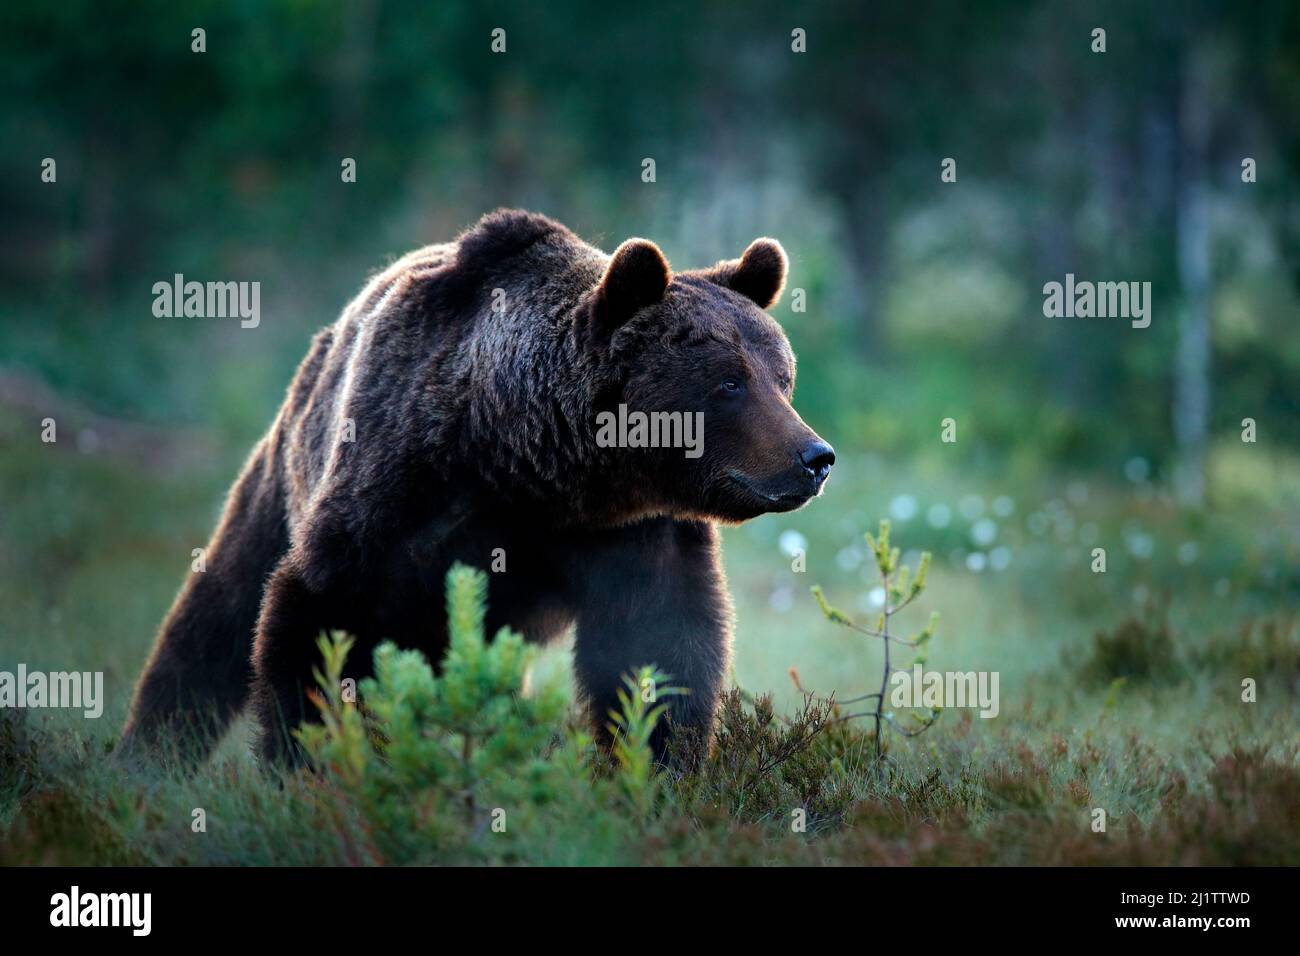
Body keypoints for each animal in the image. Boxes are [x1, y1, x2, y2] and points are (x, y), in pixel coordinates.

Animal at [120, 209, 835, 766]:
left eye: (783, 377)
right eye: (729, 383)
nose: (815, 457)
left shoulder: (634, 532)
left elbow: (661, 646)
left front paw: (658, 771)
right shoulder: (403, 482)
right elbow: (318, 615)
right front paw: (314, 767)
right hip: (285, 471)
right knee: (213, 614)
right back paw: (150, 756)